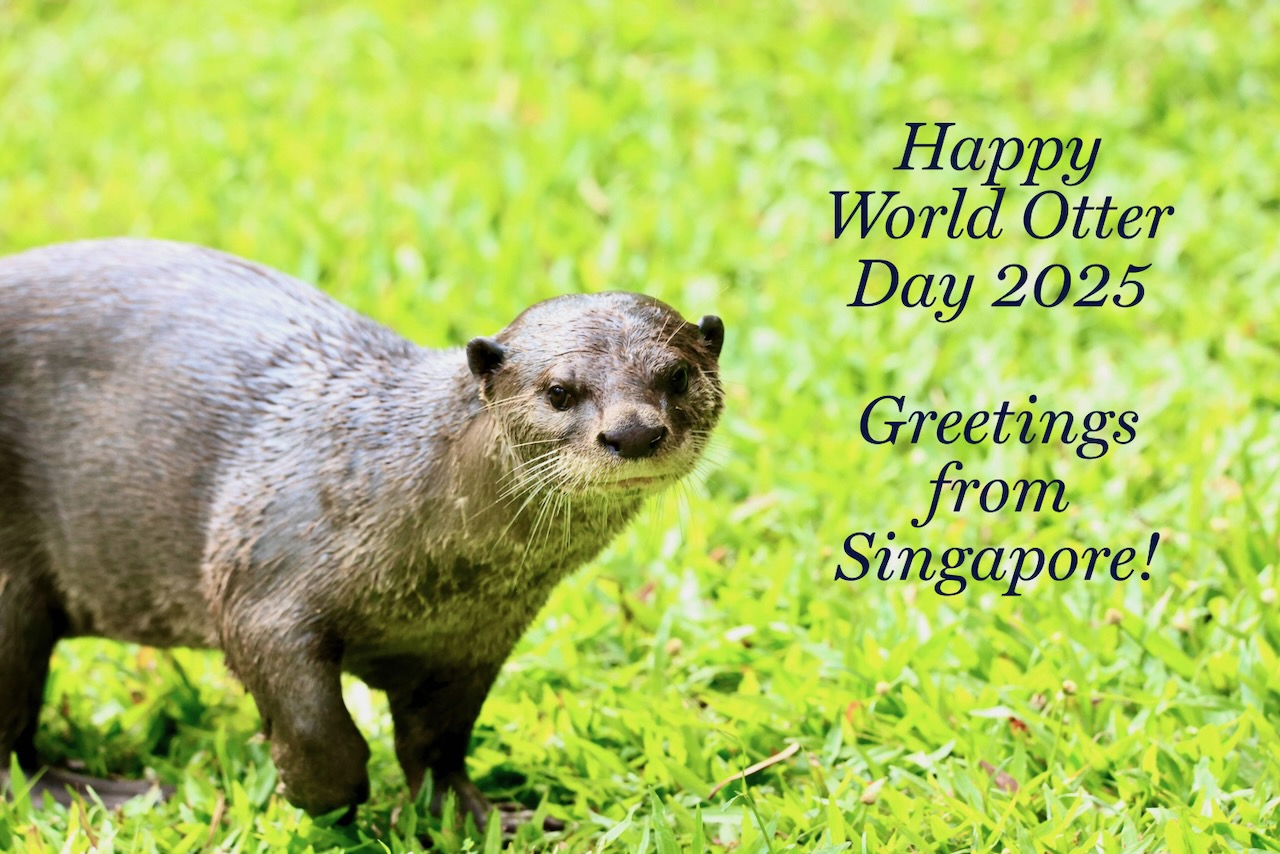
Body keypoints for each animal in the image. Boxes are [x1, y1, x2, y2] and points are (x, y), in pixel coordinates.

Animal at [0, 238, 724, 827]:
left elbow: (438, 744)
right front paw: (313, 796)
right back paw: (96, 792)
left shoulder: (474, 641)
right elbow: (322, 732)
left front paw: (481, 817)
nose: (634, 432)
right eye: (559, 391)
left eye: (677, 375)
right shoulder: (263, 580)